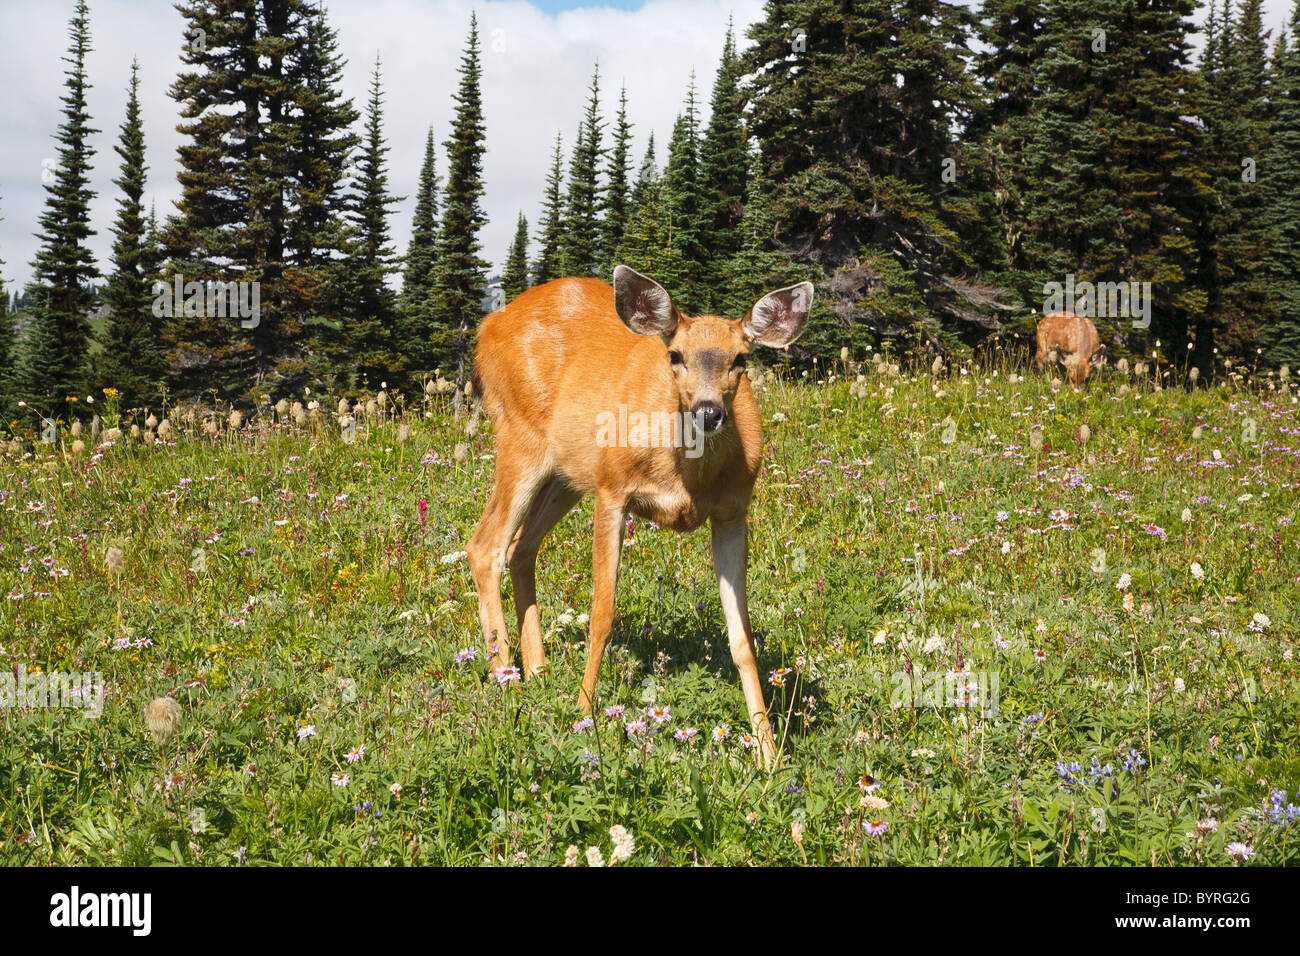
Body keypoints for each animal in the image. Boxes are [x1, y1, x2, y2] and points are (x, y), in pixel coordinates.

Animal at [466, 265, 814, 769]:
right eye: (675, 354)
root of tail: (487, 326)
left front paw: (768, 752)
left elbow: (742, 639)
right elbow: (602, 613)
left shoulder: (733, 513)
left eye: (741, 359)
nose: (708, 411)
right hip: (520, 435)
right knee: (485, 545)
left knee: (520, 548)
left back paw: (537, 671)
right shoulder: (612, 490)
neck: (687, 476)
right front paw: (584, 715)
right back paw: (504, 678)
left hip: (566, 474)